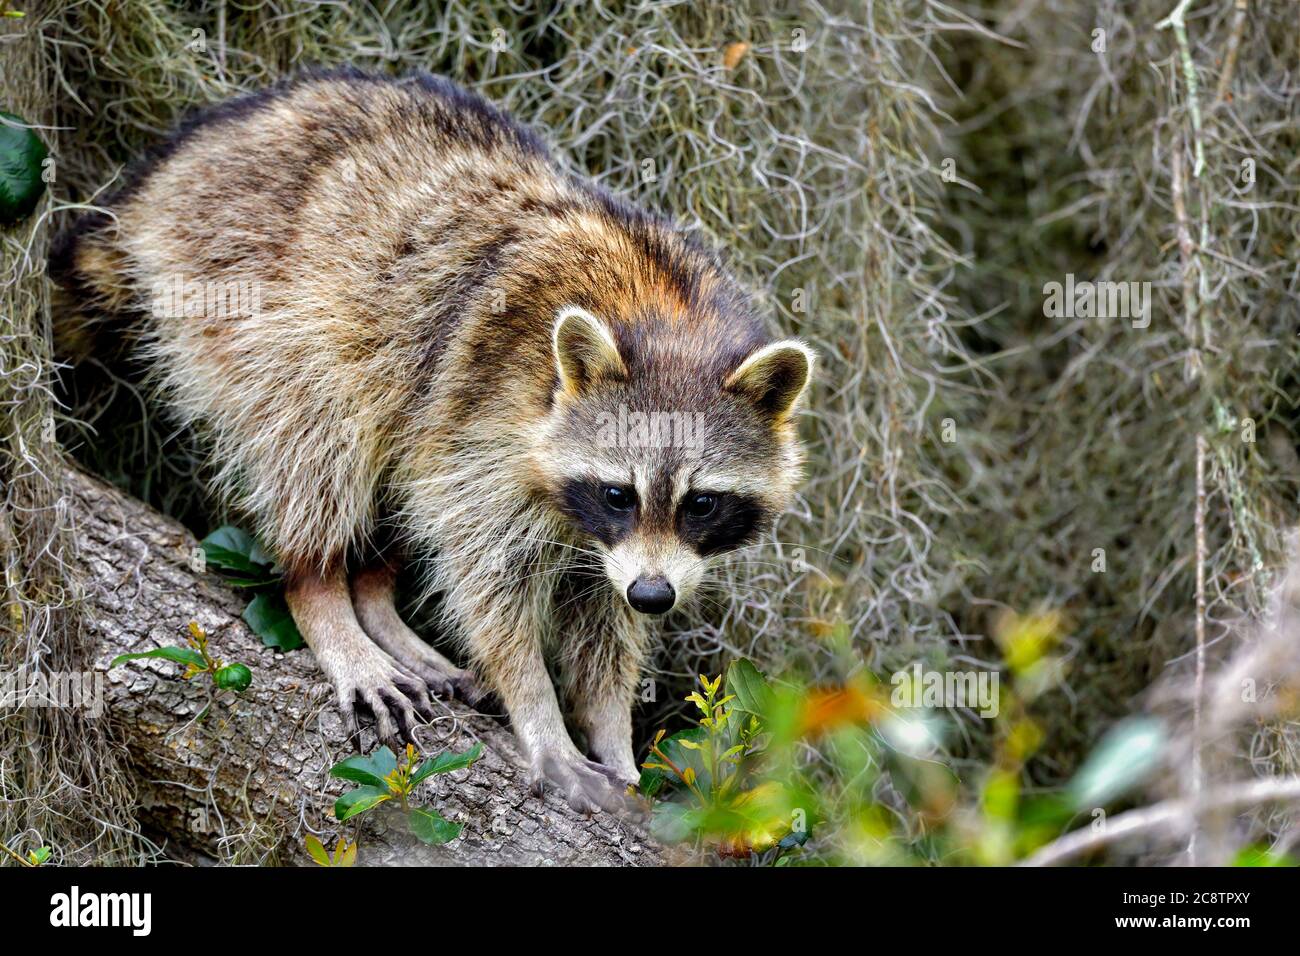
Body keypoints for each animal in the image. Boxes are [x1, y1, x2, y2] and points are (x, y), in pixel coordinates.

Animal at [51, 69, 814, 812]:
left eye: (702, 503)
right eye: (618, 494)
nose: (655, 596)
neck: (666, 318)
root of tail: (181, 162)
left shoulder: (607, 539)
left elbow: (603, 615)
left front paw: (610, 728)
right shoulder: (489, 414)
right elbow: (488, 578)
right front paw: (539, 712)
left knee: (398, 475)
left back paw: (375, 598)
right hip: (239, 282)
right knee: (321, 424)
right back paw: (322, 590)